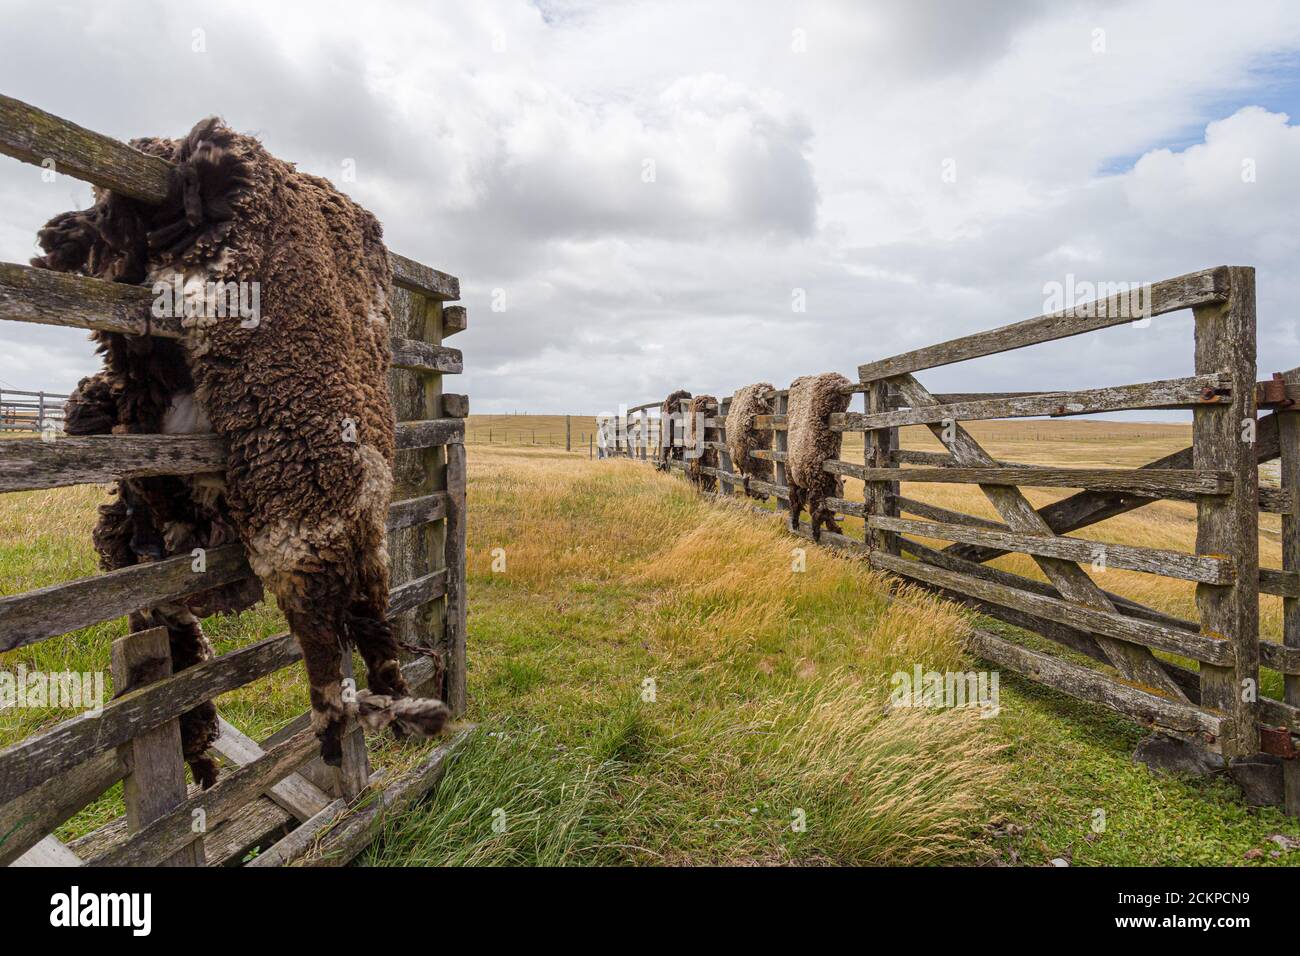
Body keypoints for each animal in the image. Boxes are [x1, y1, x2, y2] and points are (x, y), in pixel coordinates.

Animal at [36, 117, 449, 781]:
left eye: (98, 211)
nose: (50, 237)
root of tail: (359, 521)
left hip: (298, 550)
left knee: (325, 661)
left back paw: (331, 734)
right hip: (362, 564)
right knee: (376, 637)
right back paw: (398, 709)